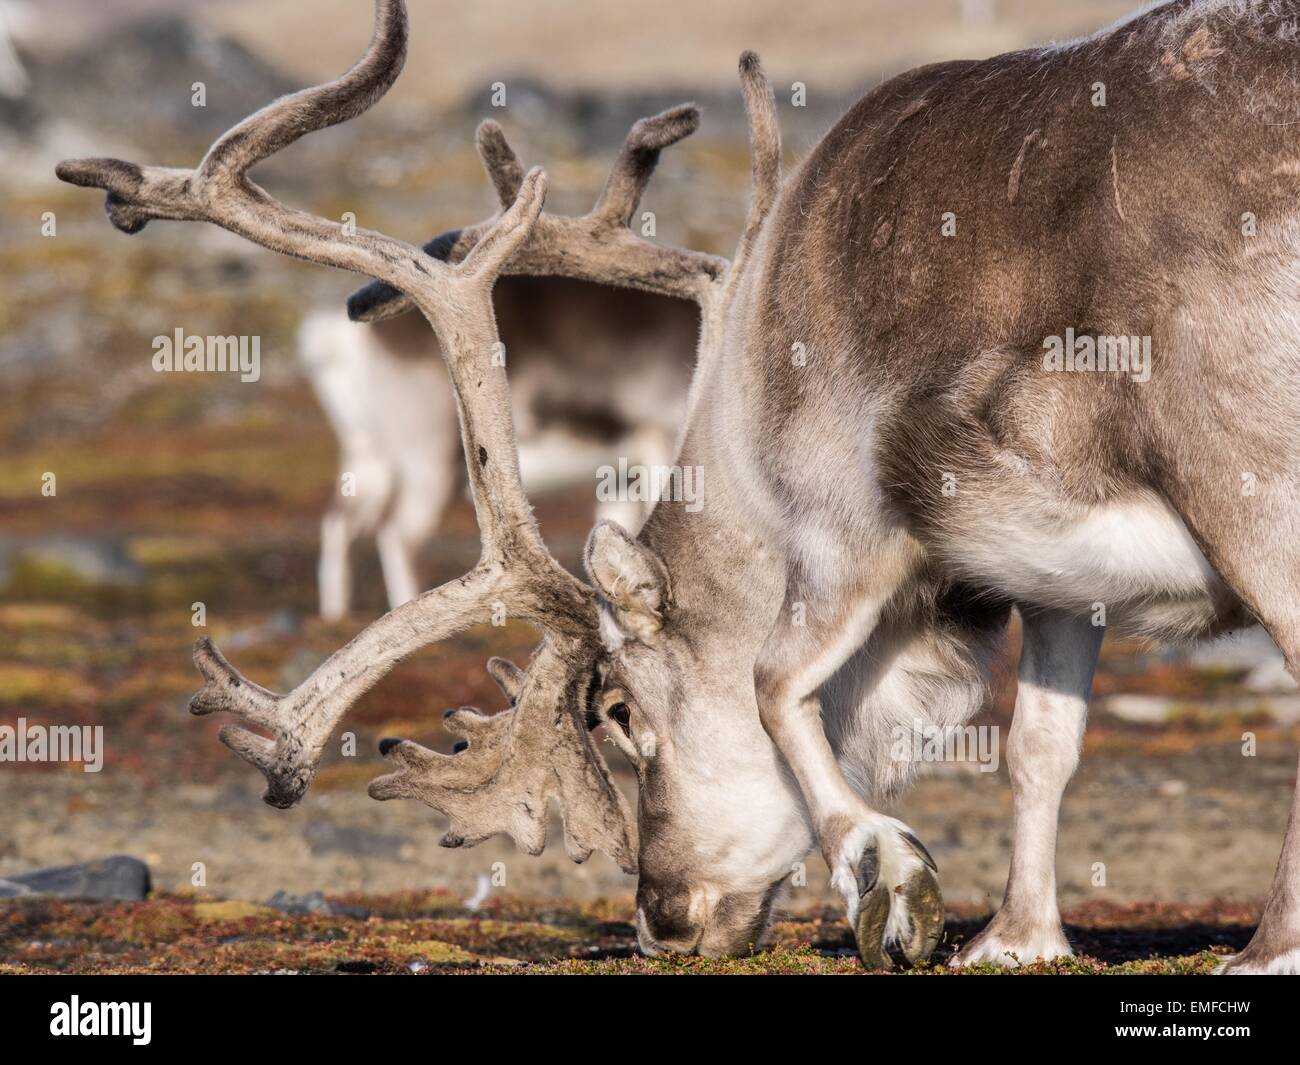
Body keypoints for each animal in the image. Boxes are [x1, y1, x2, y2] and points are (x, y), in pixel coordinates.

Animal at [58, 0, 1300, 974]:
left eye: (620, 710)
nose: (661, 919)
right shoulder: (1047, 580)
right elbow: (1040, 747)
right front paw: (1018, 937)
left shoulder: (845, 517)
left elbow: (774, 682)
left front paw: (889, 882)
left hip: (1248, 477)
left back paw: (1265, 946)